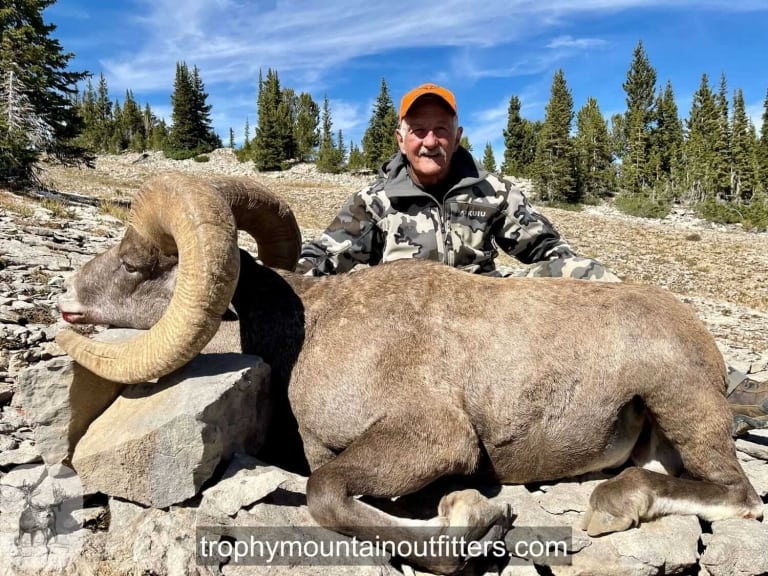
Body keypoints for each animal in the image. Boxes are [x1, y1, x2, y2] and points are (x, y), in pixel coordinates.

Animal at [57, 173, 763, 574]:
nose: (68, 298)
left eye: (134, 265)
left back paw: (614, 506)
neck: (307, 334)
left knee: (737, 495)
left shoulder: (433, 439)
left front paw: (475, 519)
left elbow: (325, 496)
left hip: (682, 404)